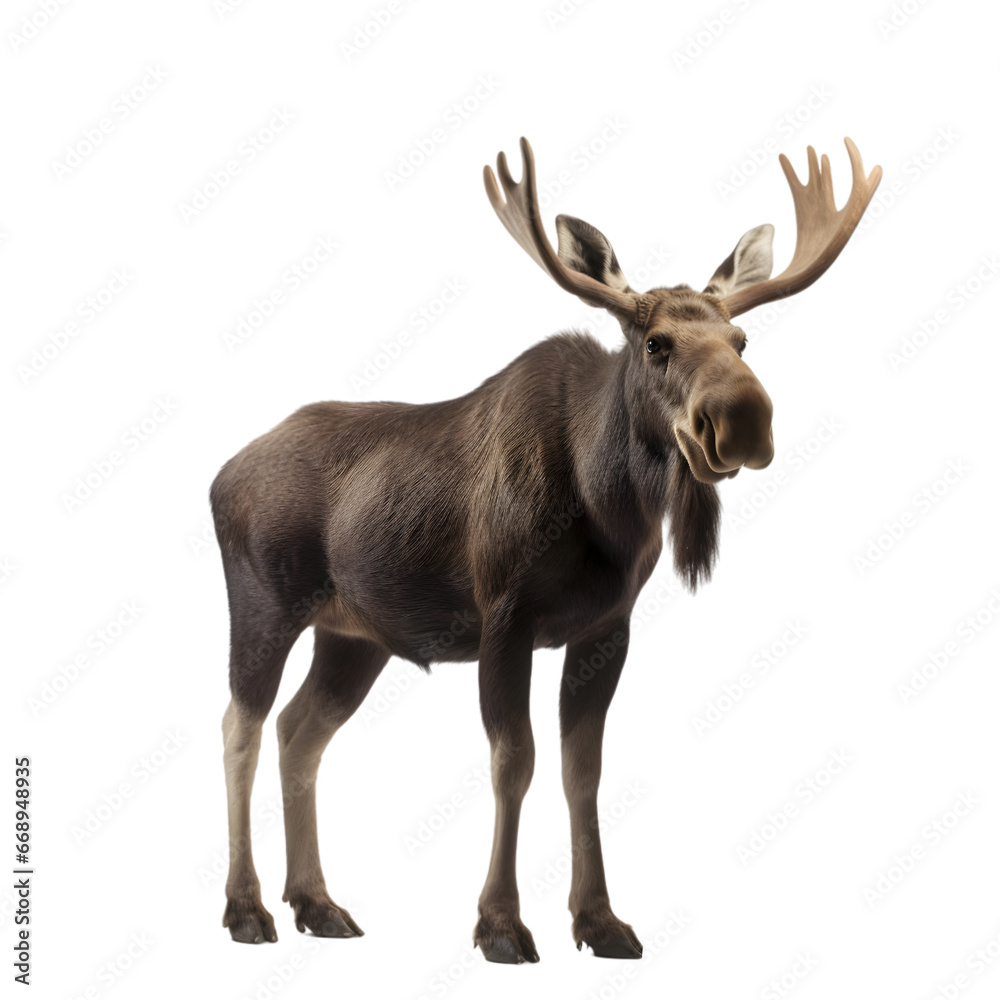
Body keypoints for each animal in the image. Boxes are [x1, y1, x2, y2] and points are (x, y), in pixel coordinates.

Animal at [211, 136, 881, 962]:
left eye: (742, 340)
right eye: (656, 343)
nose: (743, 418)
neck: (604, 509)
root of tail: (218, 477)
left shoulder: (605, 628)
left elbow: (581, 768)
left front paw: (600, 920)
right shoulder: (505, 618)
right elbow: (514, 760)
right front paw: (501, 923)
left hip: (354, 635)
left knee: (299, 732)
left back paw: (316, 903)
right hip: (264, 605)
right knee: (239, 727)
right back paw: (247, 909)